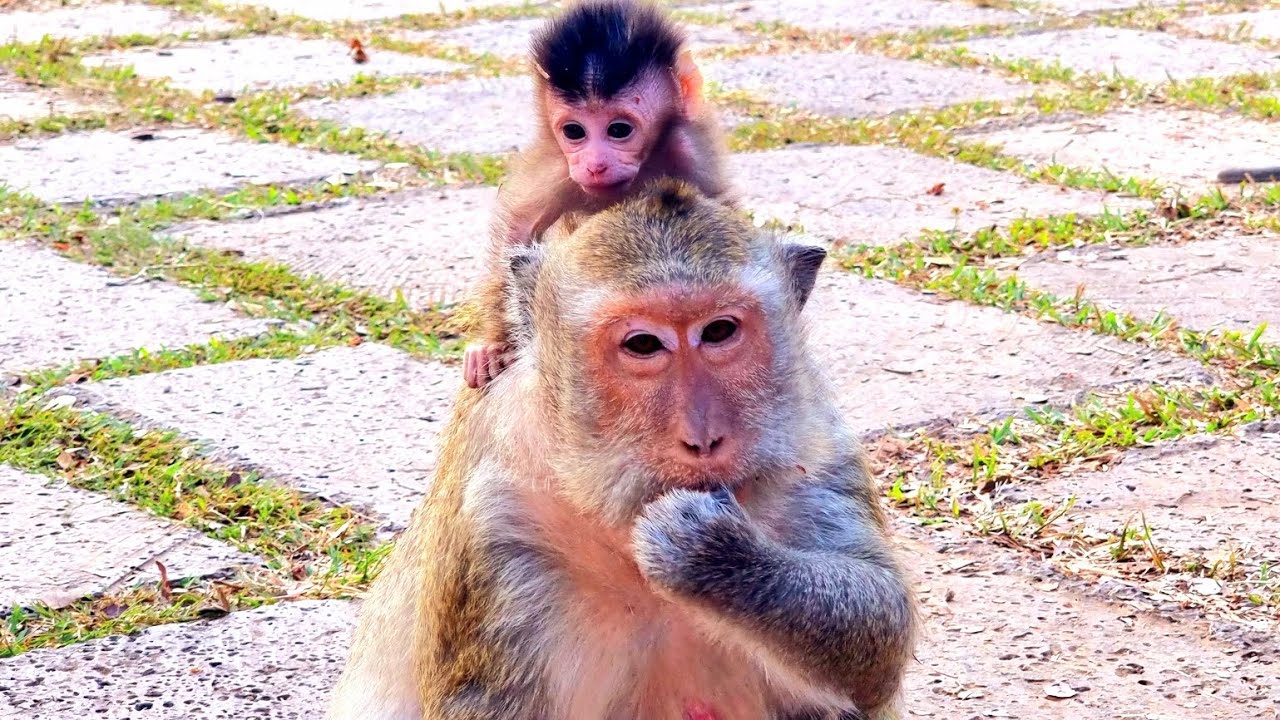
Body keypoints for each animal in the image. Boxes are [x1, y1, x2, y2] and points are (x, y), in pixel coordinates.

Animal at [329, 178, 917, 720]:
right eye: (643, 345)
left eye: (719, 331)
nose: (702, 436)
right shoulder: (499, 514)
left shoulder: (818, 447)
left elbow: (882, 625)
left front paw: (715, 553)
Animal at [460, 0, 733, 389]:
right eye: (574, 132)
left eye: (619, 130)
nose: (595, 164)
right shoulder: (558, 167)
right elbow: (517, 225)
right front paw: (492, 343)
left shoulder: (688, 148)